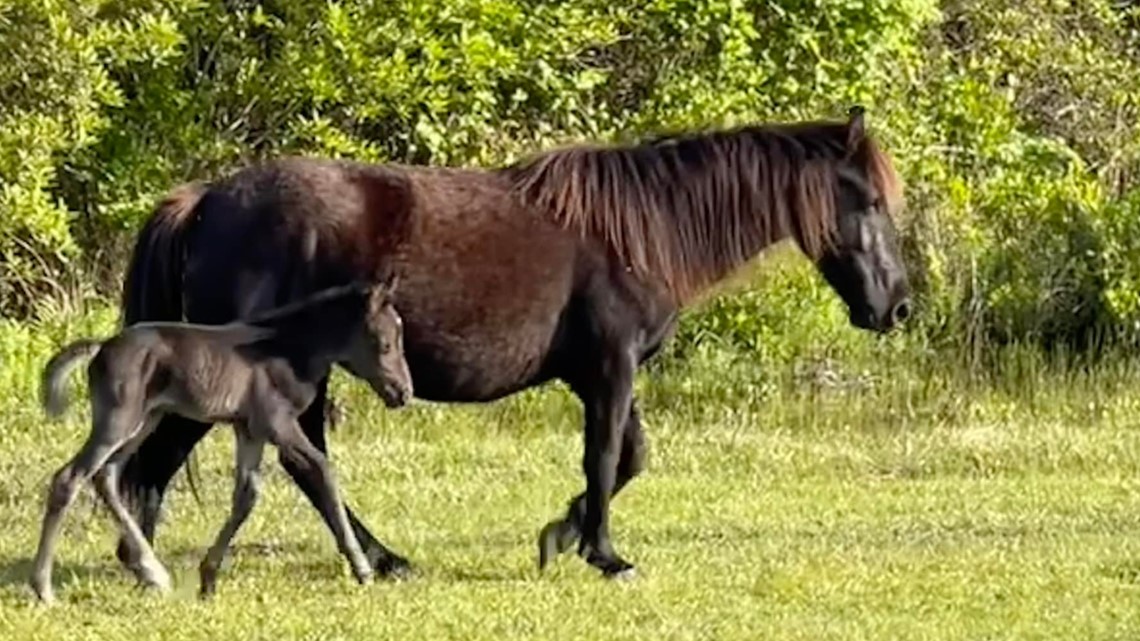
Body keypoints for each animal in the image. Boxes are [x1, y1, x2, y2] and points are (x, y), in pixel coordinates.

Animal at [29, 279, 413, 604]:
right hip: (118, 420)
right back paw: (44, 588)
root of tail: (101, 347)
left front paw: (208, 578)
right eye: (386, 343)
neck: (288, 347)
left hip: (144, 420)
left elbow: (246, 496)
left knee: (105, 476)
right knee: (69, 478)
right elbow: (322, 469)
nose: (403, 392)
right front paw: (363, 569)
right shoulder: (277, 423)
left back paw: (153, 573)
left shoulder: (249, 429)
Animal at [112, 106, 911, 580]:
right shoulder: (611, 368)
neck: (641, 231)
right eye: (869, 201)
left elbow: (629, 457)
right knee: (214, 462)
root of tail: (204, 200)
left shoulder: (602, 373)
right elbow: (604, 457)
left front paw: (560, 534)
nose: (898, 306)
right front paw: (604, 553)